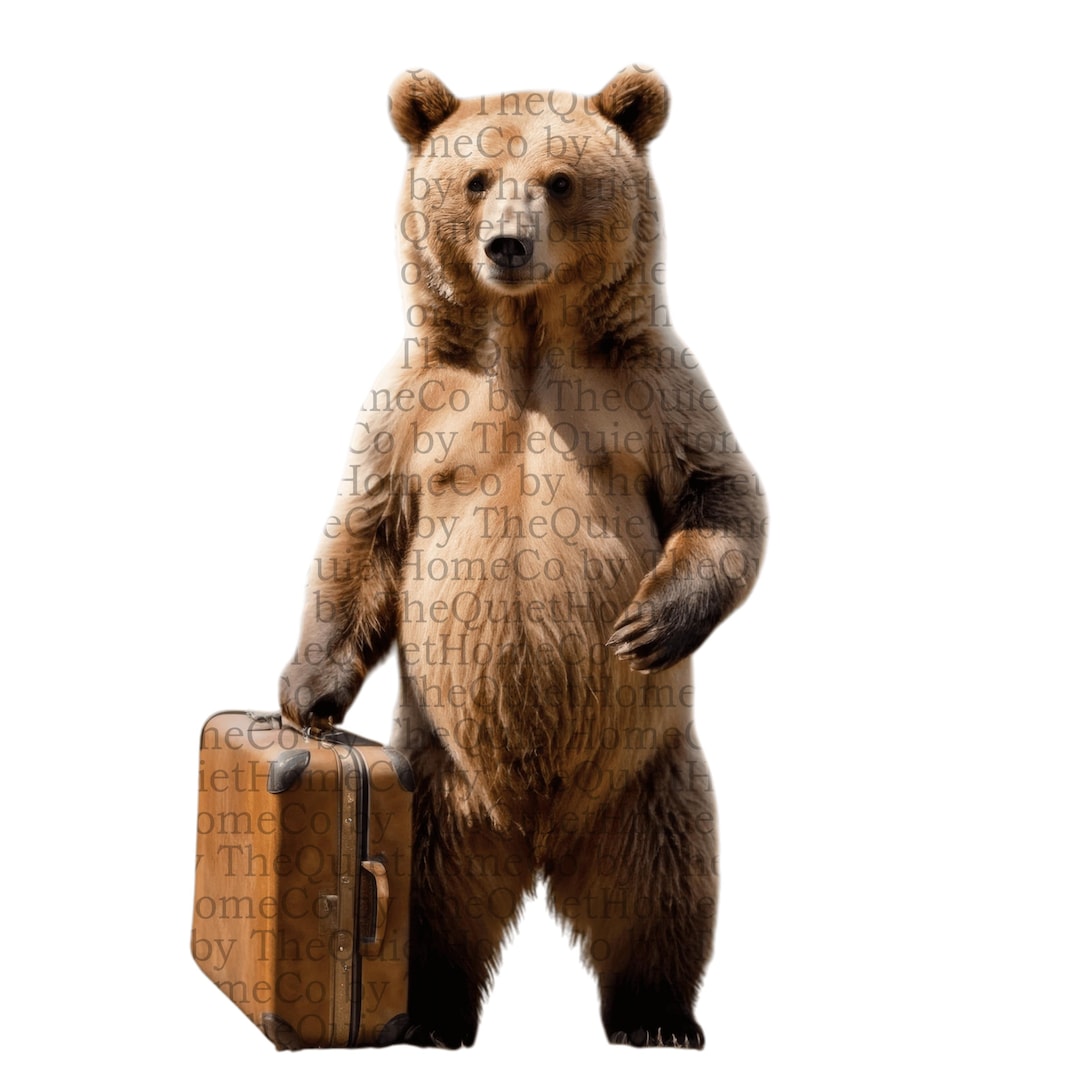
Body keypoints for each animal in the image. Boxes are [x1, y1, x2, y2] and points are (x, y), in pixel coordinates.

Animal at [280, 66, 766, 1049]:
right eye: (476, 180)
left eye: (559, 180)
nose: (506, 244)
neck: (531, 340)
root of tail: (541, 843)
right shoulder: (415, 406)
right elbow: (362, 536)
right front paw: (307, 690)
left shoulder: (652, 388)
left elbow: (724, 497)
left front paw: (648, 624)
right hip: (436, 785)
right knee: (425, 899)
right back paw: (430, 1014)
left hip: (647, 776)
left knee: (666, 884)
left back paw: (659, 1015)